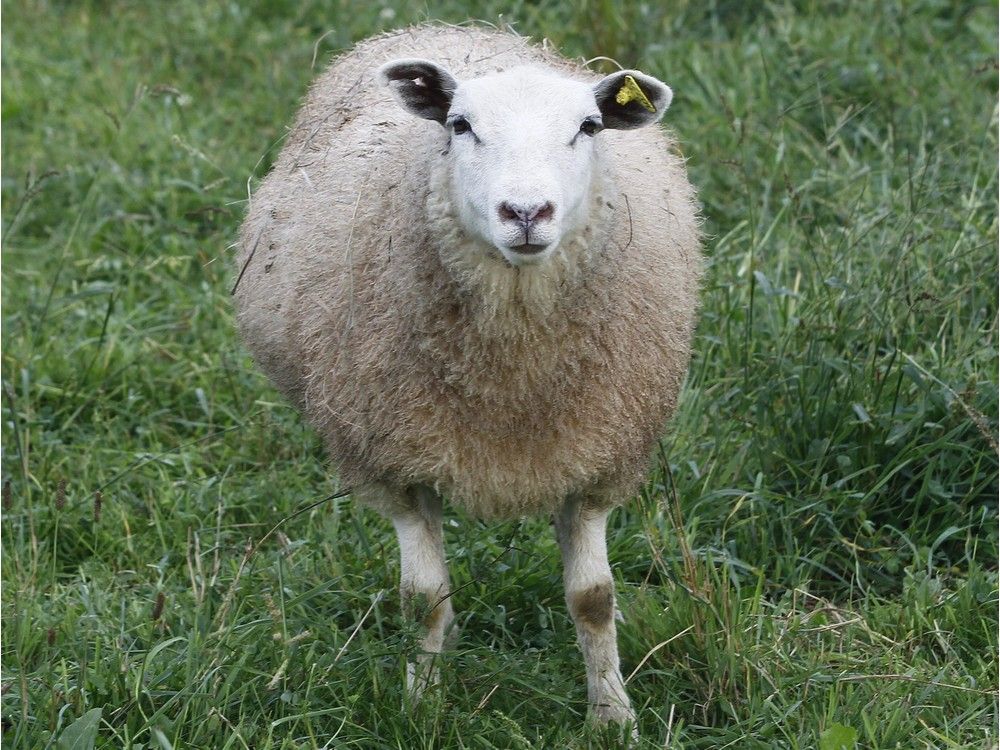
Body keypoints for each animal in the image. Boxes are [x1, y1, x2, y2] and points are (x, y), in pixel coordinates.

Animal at [233, 24, 702, 729]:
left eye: (589, 127)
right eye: (461, 125)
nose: (526, 212)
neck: (513, 361)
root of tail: (452, 31)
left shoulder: (595, 456)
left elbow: (594, 597)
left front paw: (613, 714)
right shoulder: (395, 462)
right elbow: (422, 597)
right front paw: (421, 705)